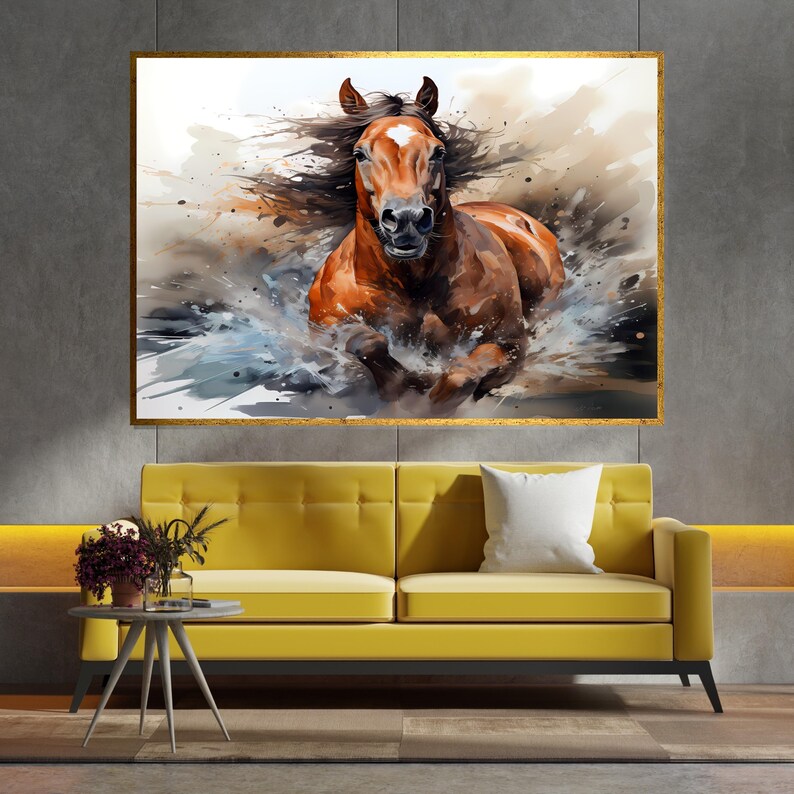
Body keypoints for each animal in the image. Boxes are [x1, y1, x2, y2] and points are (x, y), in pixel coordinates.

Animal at [307, 77, 565, 409]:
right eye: (359, 153)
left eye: (438, 152)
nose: (407, 219)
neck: (411, 285)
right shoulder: (324, 328)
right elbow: (366, 341)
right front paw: (399, 381)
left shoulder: (509, 344)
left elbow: (460, 375)